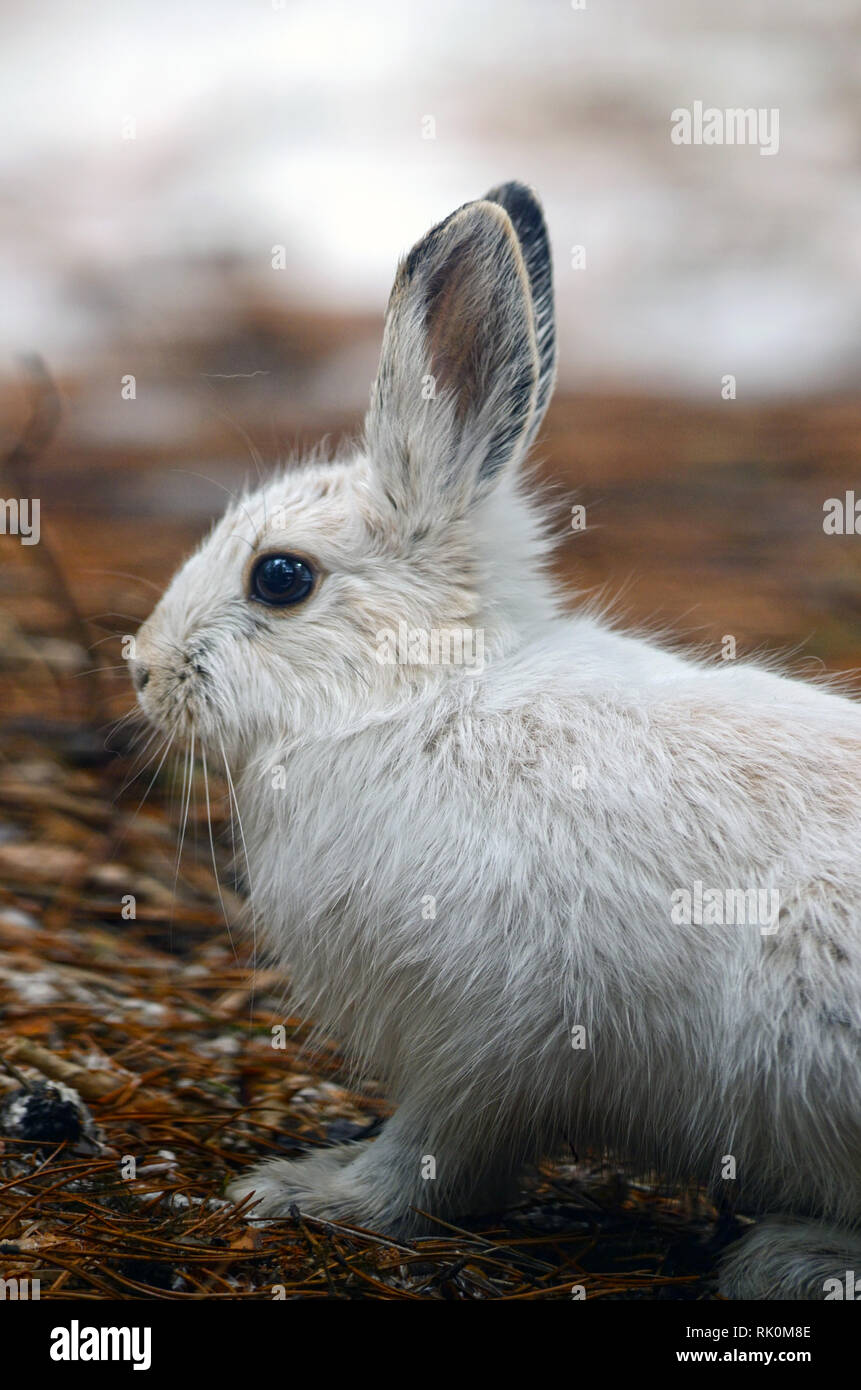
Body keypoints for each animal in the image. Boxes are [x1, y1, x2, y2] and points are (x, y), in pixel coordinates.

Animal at [131, 182, 861, 1300]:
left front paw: (311, 1192)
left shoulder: (487, 1041)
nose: (142, 668)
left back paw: (788, 1258)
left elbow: (435, 1150)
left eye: (281, 578)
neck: (413, 698)